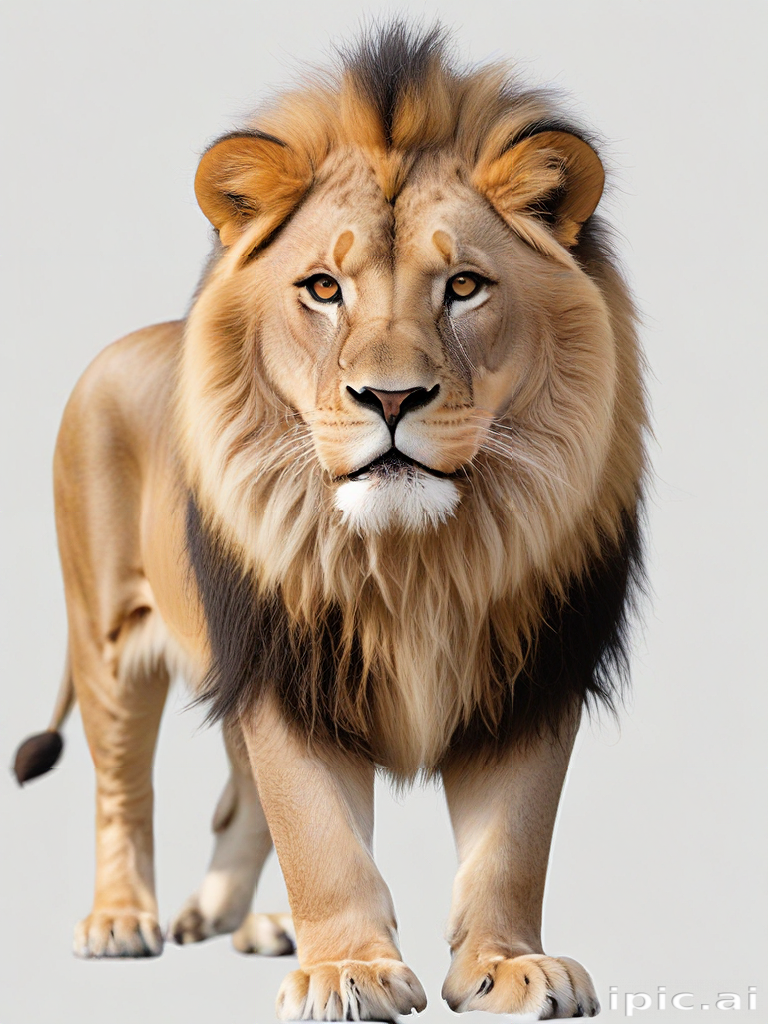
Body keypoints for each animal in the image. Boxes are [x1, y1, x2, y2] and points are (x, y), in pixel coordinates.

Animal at [13, 23, 645, 1022]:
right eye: (321, 288)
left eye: (464, 285)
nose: (390, 397)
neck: (417, 557)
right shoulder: (282, 658)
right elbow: (315, 832)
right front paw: (348, 967)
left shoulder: (538, 662)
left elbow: (512, 842)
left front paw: (508, 967)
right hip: (108, 637)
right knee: (122, 788)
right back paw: (121, 921)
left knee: (236, 799)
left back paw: (248, 922)